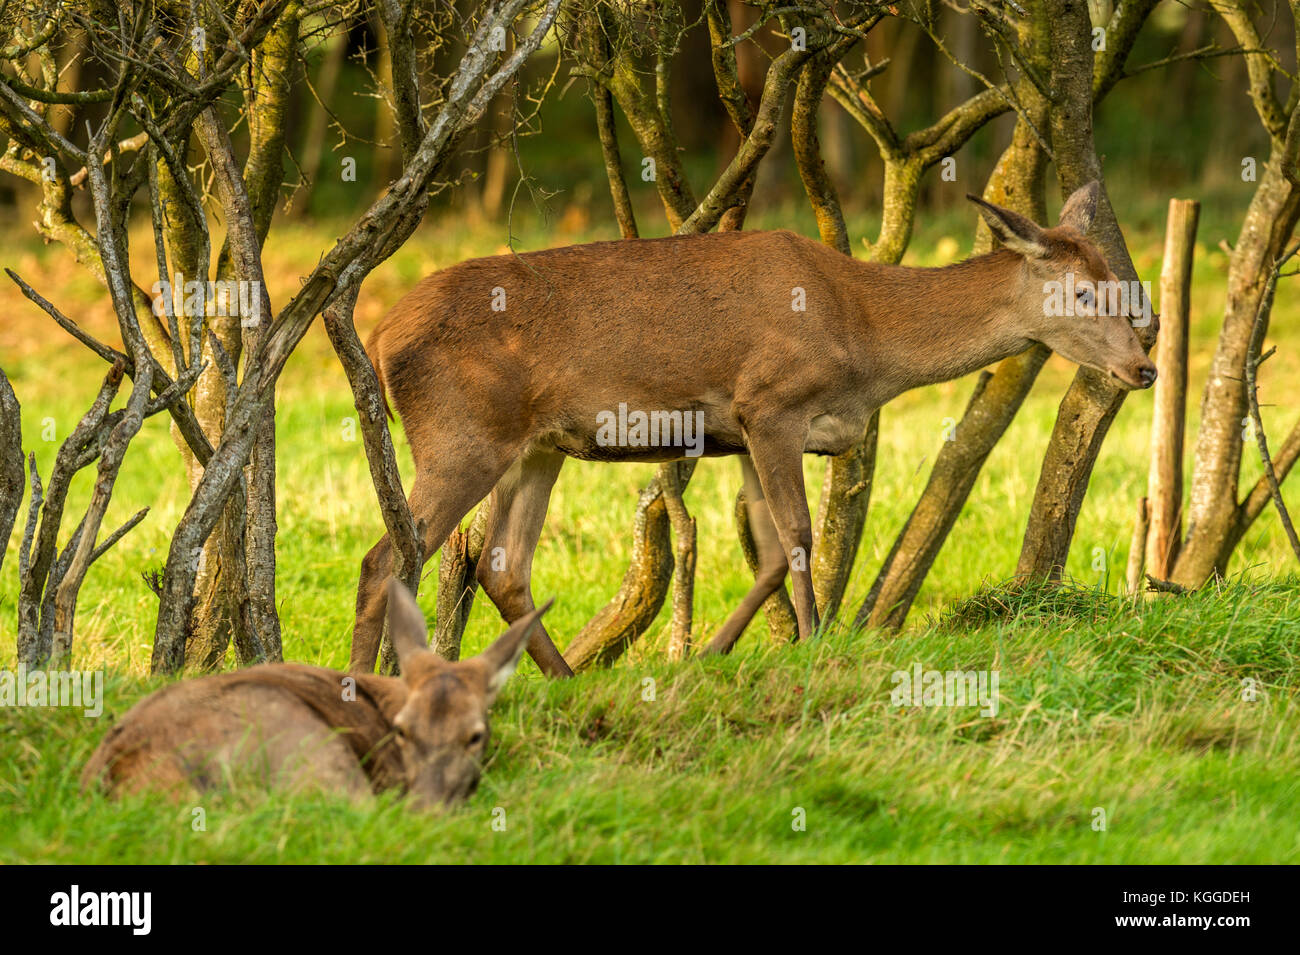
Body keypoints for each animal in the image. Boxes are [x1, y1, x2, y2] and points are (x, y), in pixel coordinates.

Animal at [352, 181, 1156, 678]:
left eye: (1120, 283)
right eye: (1084, 294)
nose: (1144, 366)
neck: (866, 338)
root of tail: (382, 335)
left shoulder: (741, 432)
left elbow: (768, 550)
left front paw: (712, 653)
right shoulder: (771, 402)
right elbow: (799, 536)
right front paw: (815, 640)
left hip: (535, 447)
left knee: (500, 564)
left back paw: (566, 677)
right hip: (460, 434)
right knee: (388, 556)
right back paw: (361, 686)